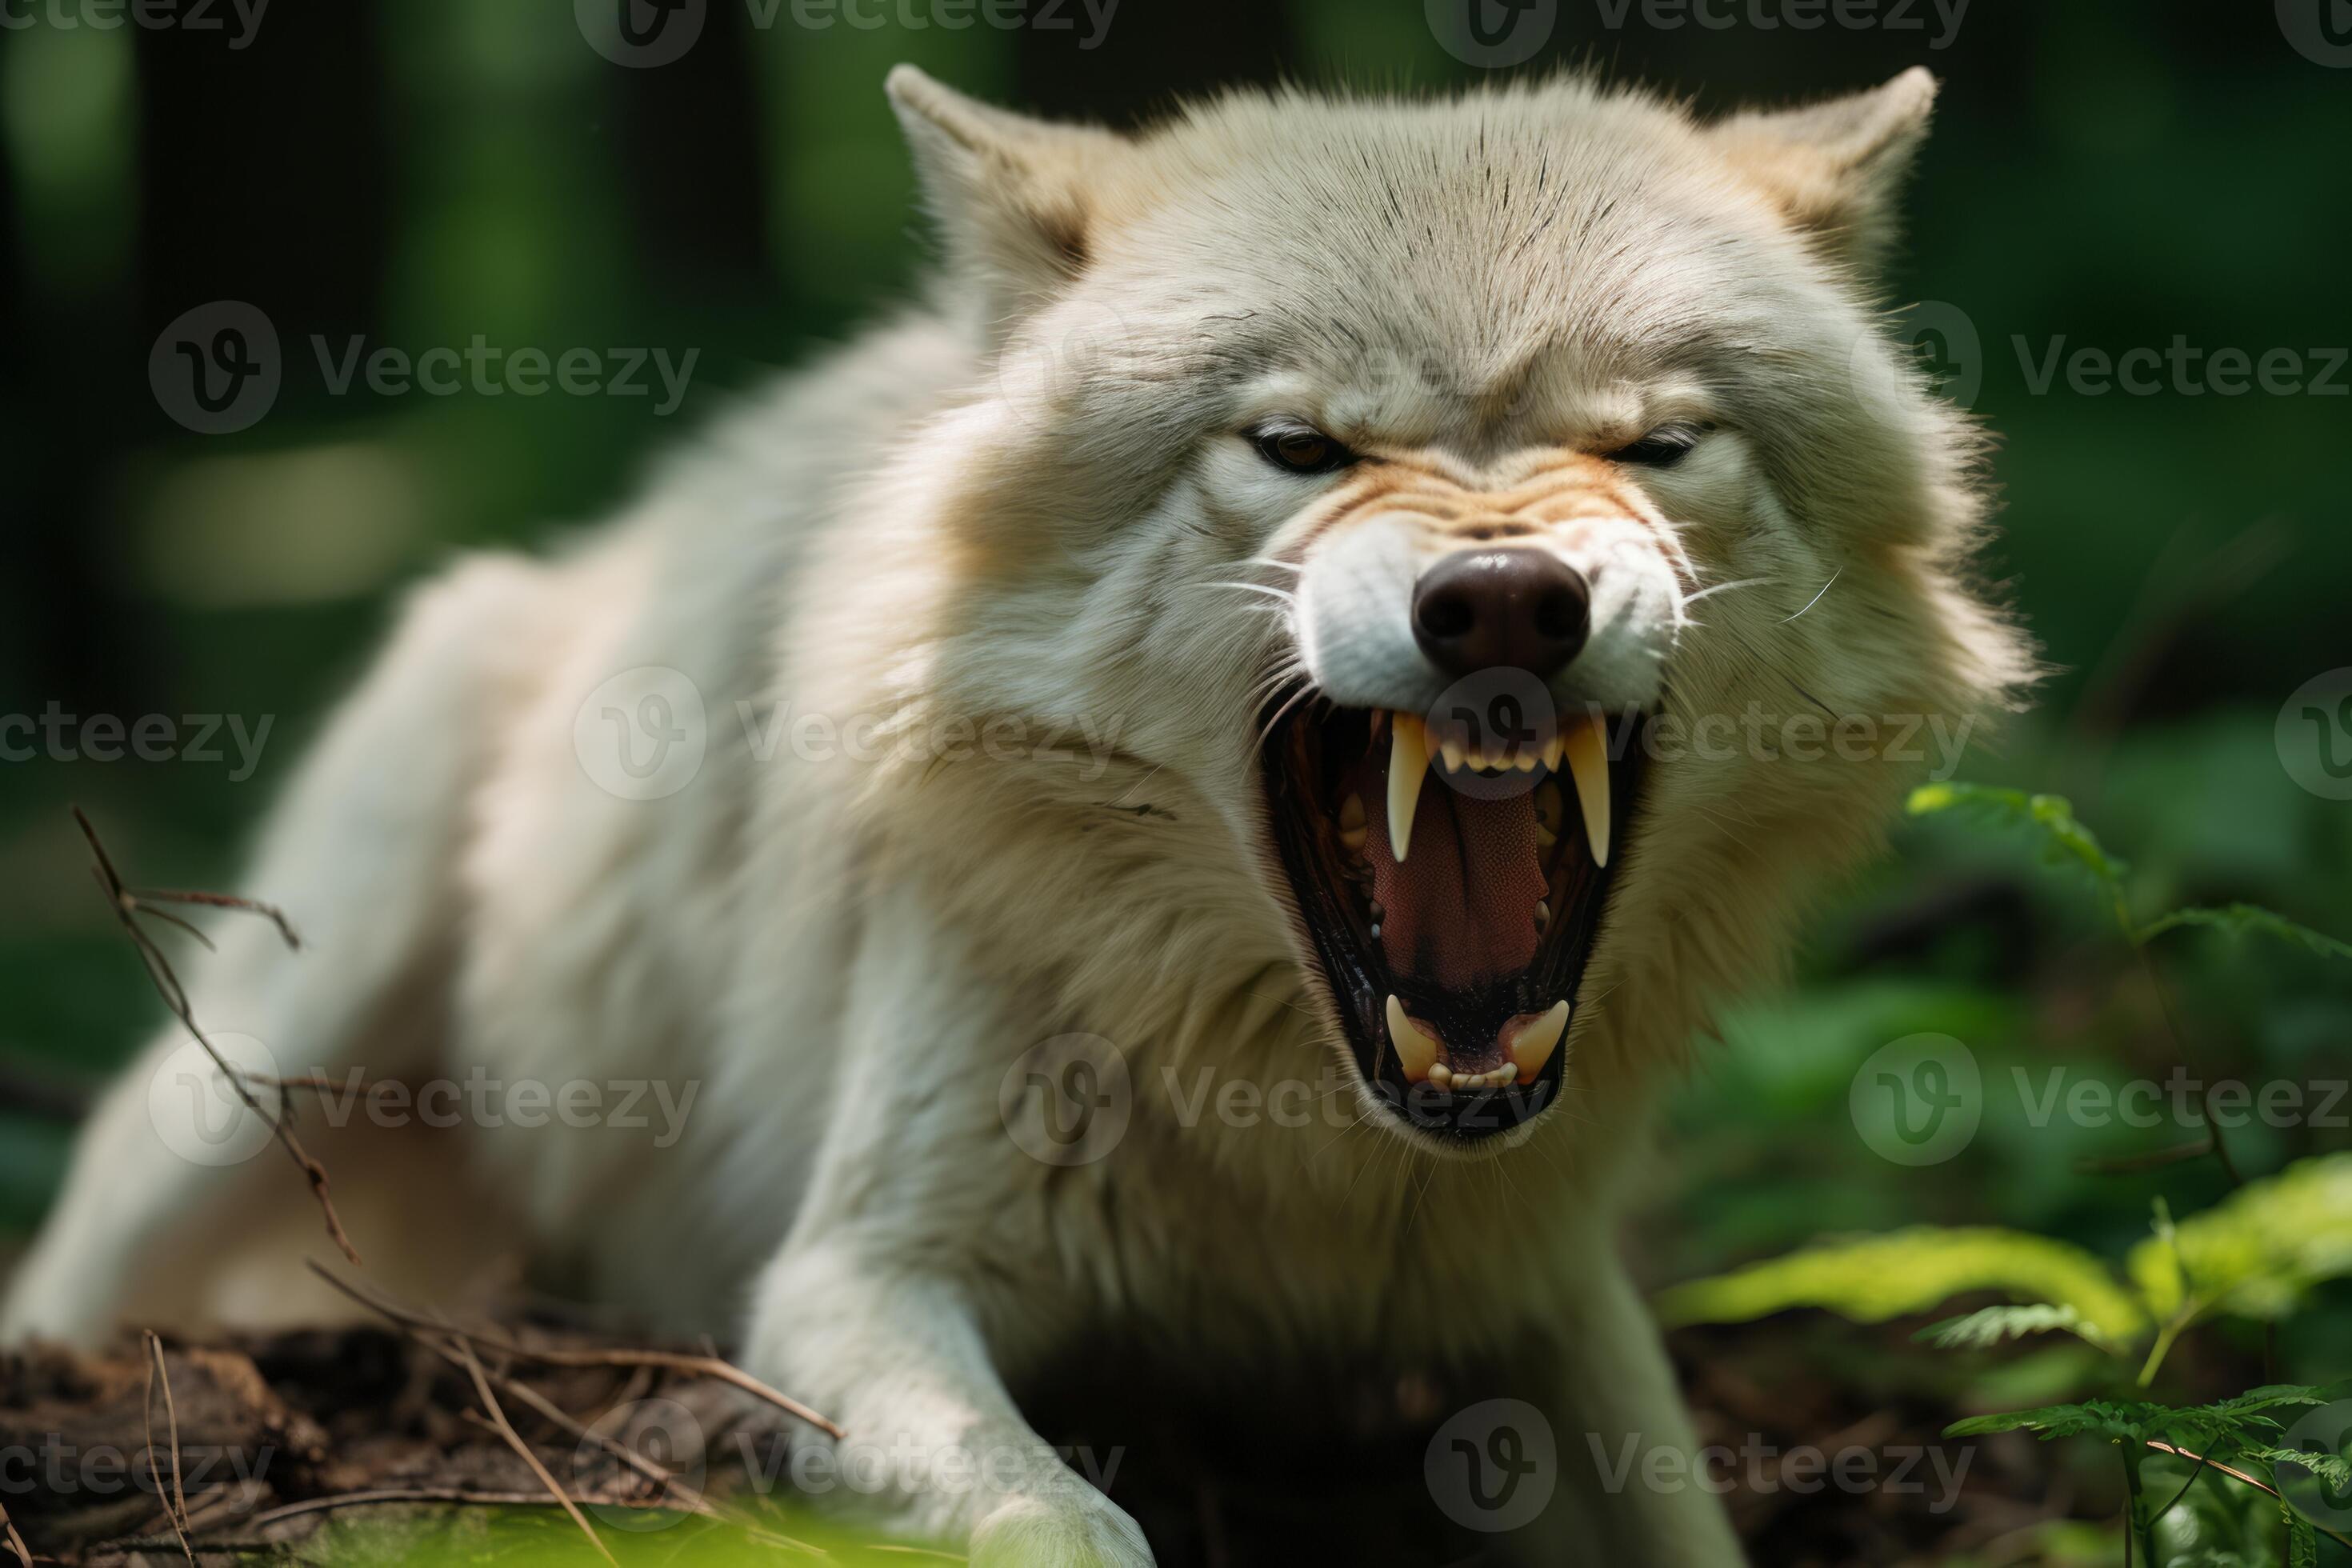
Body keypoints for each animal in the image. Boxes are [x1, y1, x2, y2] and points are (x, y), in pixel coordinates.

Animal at [4, 66, 2028, 1564]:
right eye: (1296, 447)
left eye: (1656, 443)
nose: (1507, 603)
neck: (1303, 1137)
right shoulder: (845, 1287)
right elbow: (1069, 1527)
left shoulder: (1540, 1294)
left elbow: (1685, 1521)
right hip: (251, 1072)